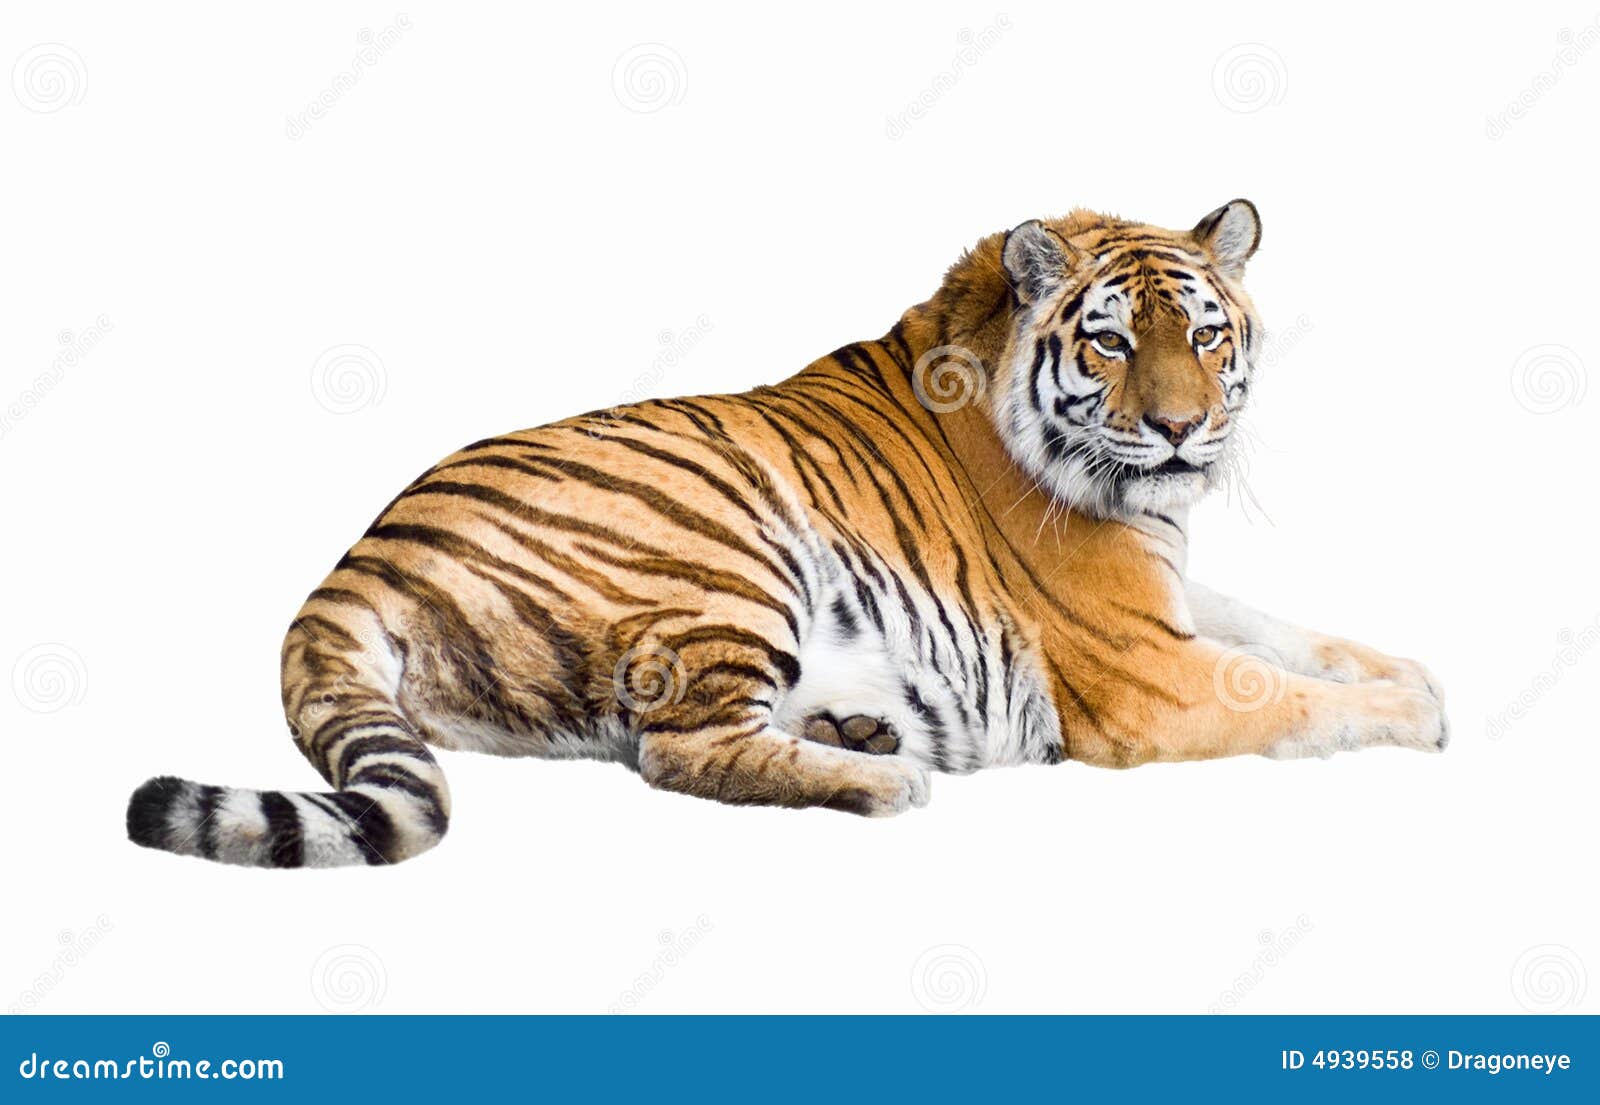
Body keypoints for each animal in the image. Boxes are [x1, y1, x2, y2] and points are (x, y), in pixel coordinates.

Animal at [126, 199, 1447, 868]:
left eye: (1208, 335)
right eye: (1113, 341)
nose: (1181, 429)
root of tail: (358, 557)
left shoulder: (1169, 599)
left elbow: (1290, 634)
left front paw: (1410, 668)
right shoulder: (1144, 672)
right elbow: (1290, 697)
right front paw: (1414, 713)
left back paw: (859, 726)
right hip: (727, 558)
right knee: (676, 753)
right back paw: (885, 775)